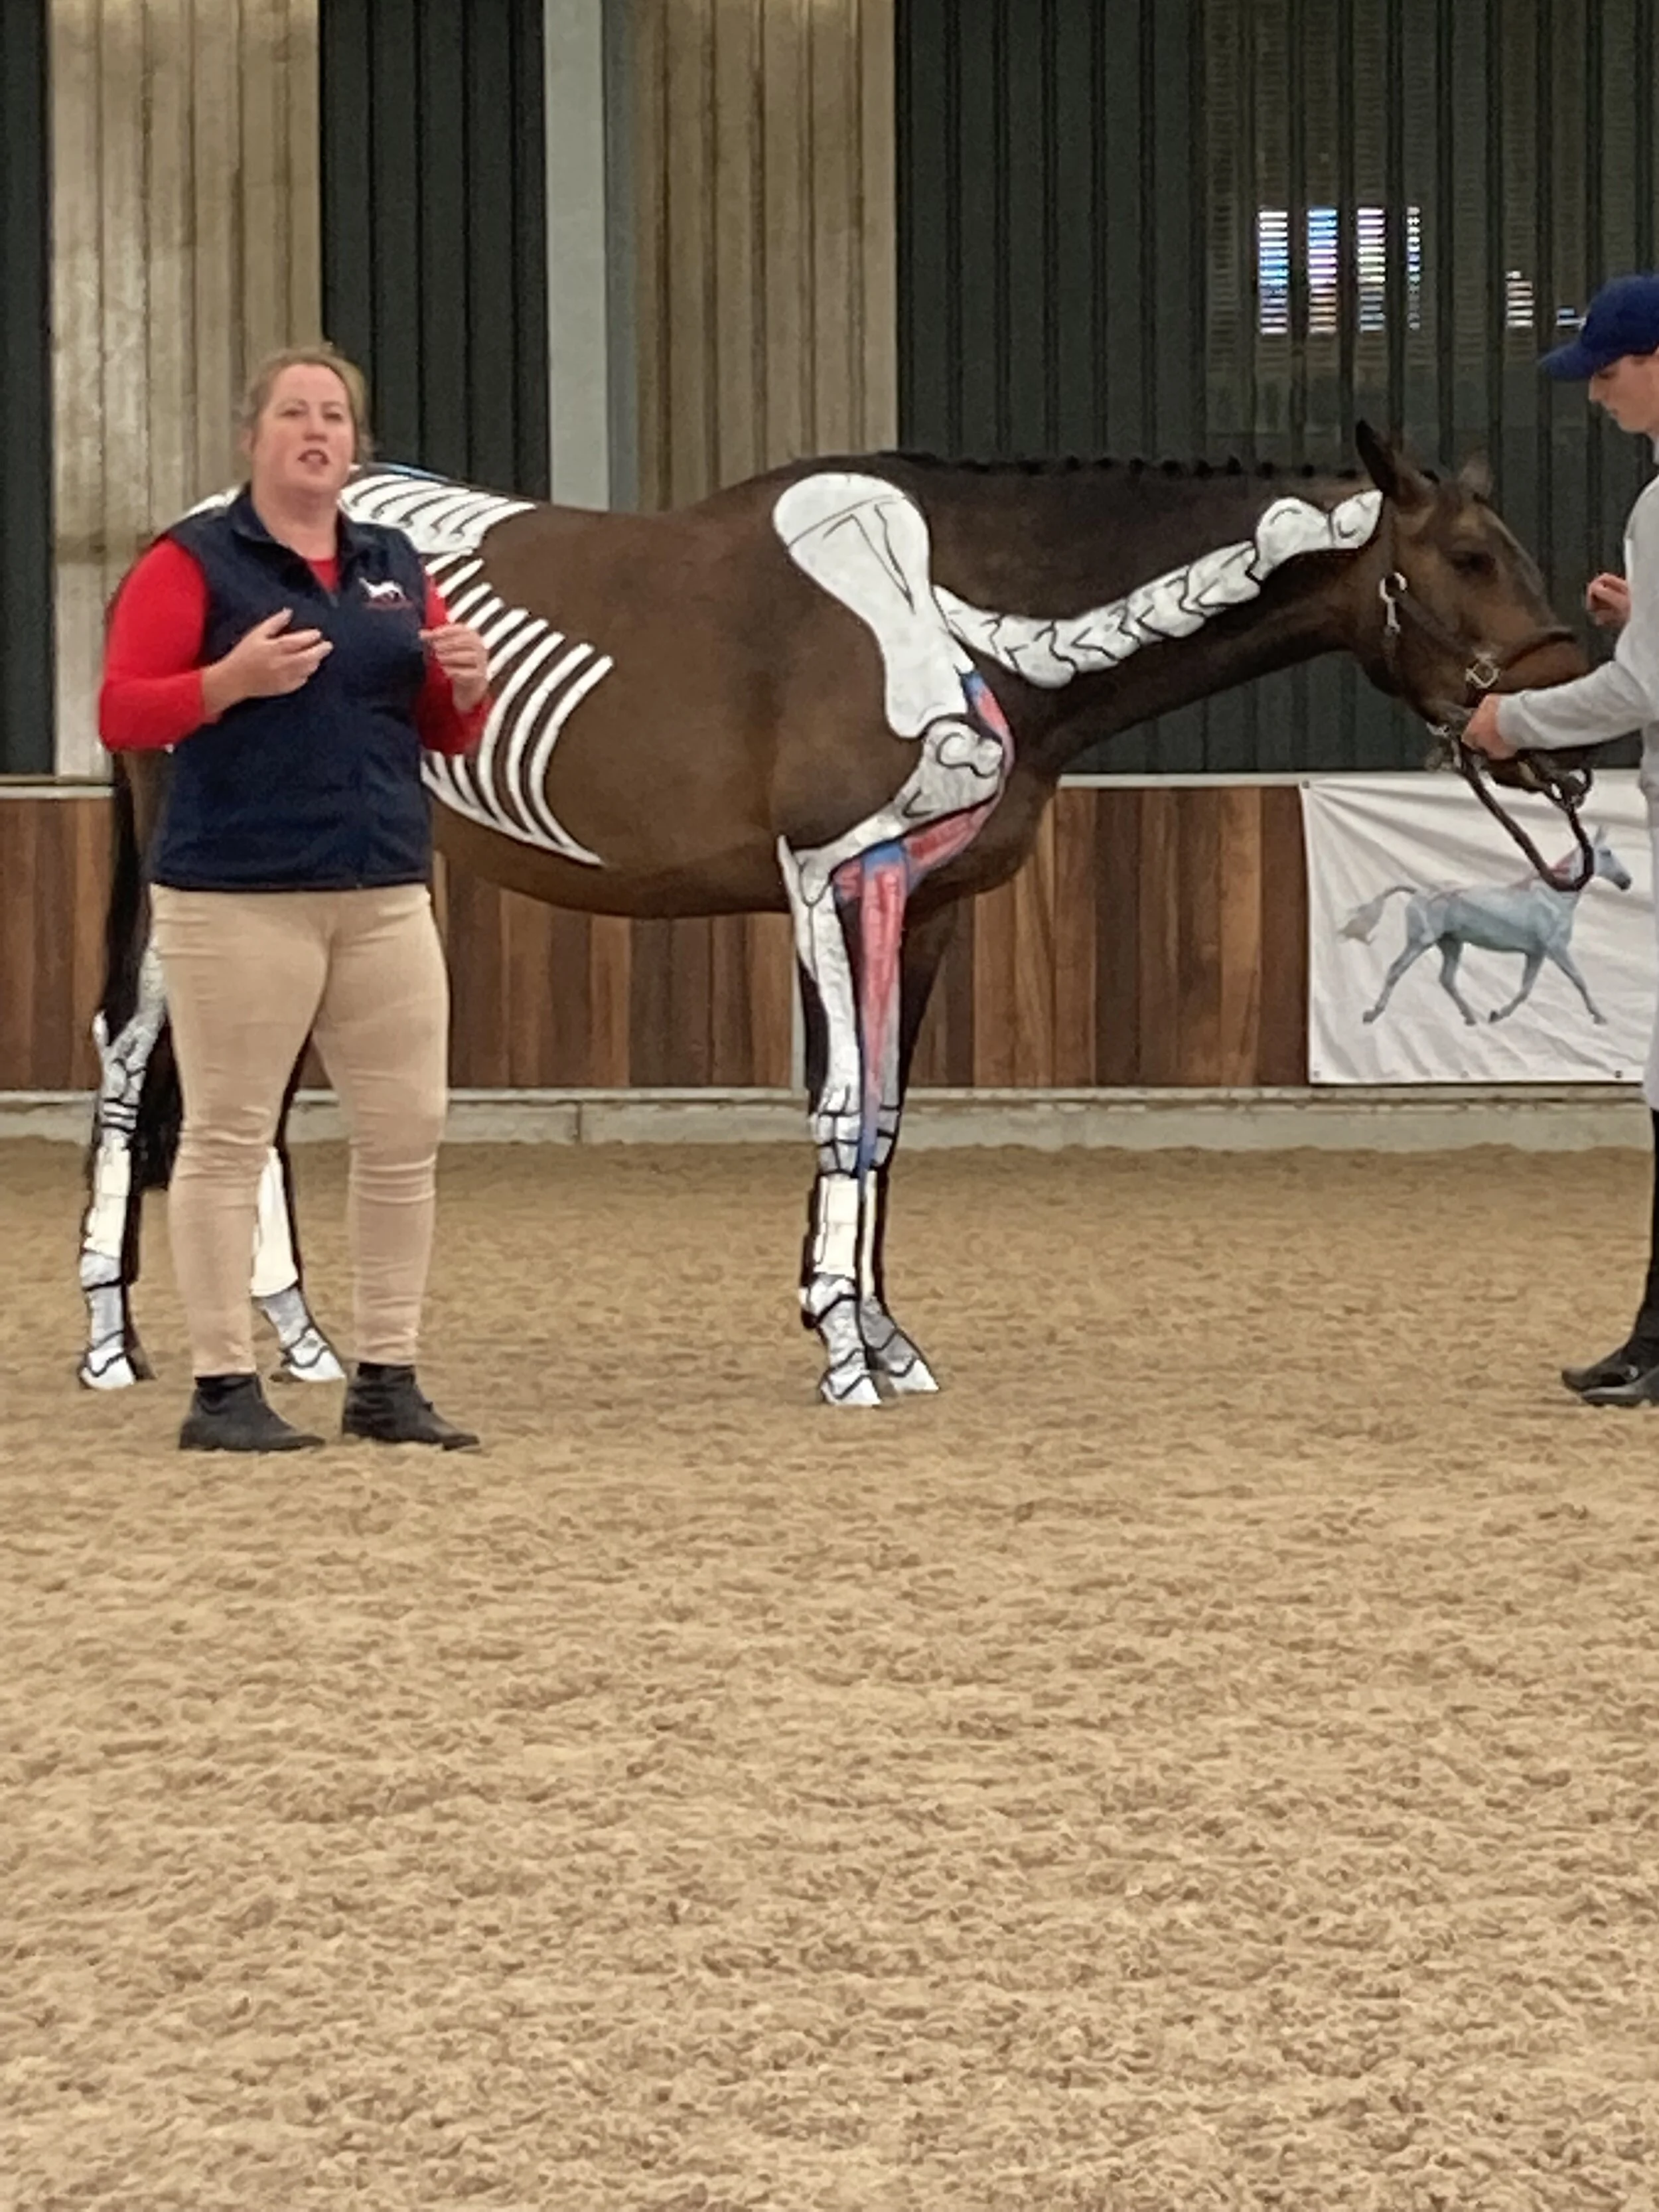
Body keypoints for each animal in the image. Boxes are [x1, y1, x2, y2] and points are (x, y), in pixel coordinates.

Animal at [80, 422, 1591, 1407]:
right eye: (1468, 554)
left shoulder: (923, 910)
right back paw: (114, 1342)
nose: (1566, 746)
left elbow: (889, 1118)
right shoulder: (832, 876)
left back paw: (299, 1340)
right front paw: (841, 1347)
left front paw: (884, 1335)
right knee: (136, 1061)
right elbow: (842, 1101)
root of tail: (167, 550)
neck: (952, 616)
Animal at [1344, 826, 1633, 1027]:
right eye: (1607, 852)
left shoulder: (1536, 954)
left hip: (1452, 945)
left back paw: (1471, 1017)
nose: (1627, 881)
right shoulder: (1557, 949)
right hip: (1420, 942)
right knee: (1396, 970)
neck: (1555, 896)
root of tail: (1418, 892)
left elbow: (1525, 990)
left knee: (1446, 979)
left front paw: (1496, 1015)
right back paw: (1372, 1014)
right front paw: (1600, 1017)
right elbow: (1579, 980)